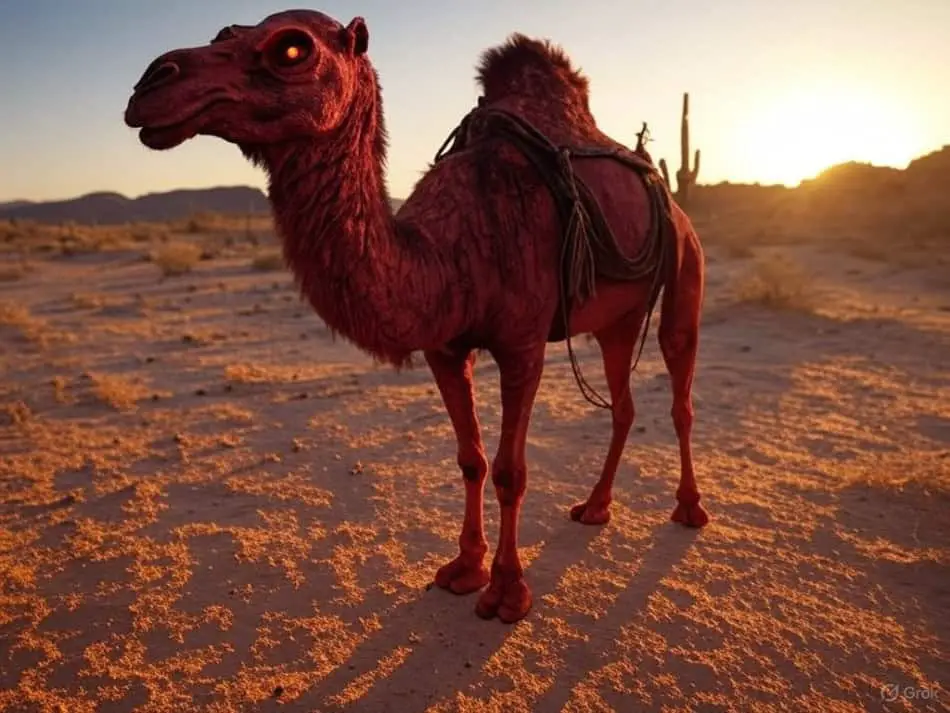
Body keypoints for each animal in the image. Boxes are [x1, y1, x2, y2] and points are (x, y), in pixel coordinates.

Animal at [124, 10, 709, 624]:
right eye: (222, 33)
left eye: (292, 48)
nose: (150, 83)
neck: (442, 251)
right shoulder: (443, 347)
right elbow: (471, 459)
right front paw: (464, 569)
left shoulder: (522, 344)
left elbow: (511, 471)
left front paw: (507, 592)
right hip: (616, 318)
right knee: (623, 404)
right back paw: (595, 507)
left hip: (685, 269)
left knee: (680, 393)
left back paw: (689, 509)